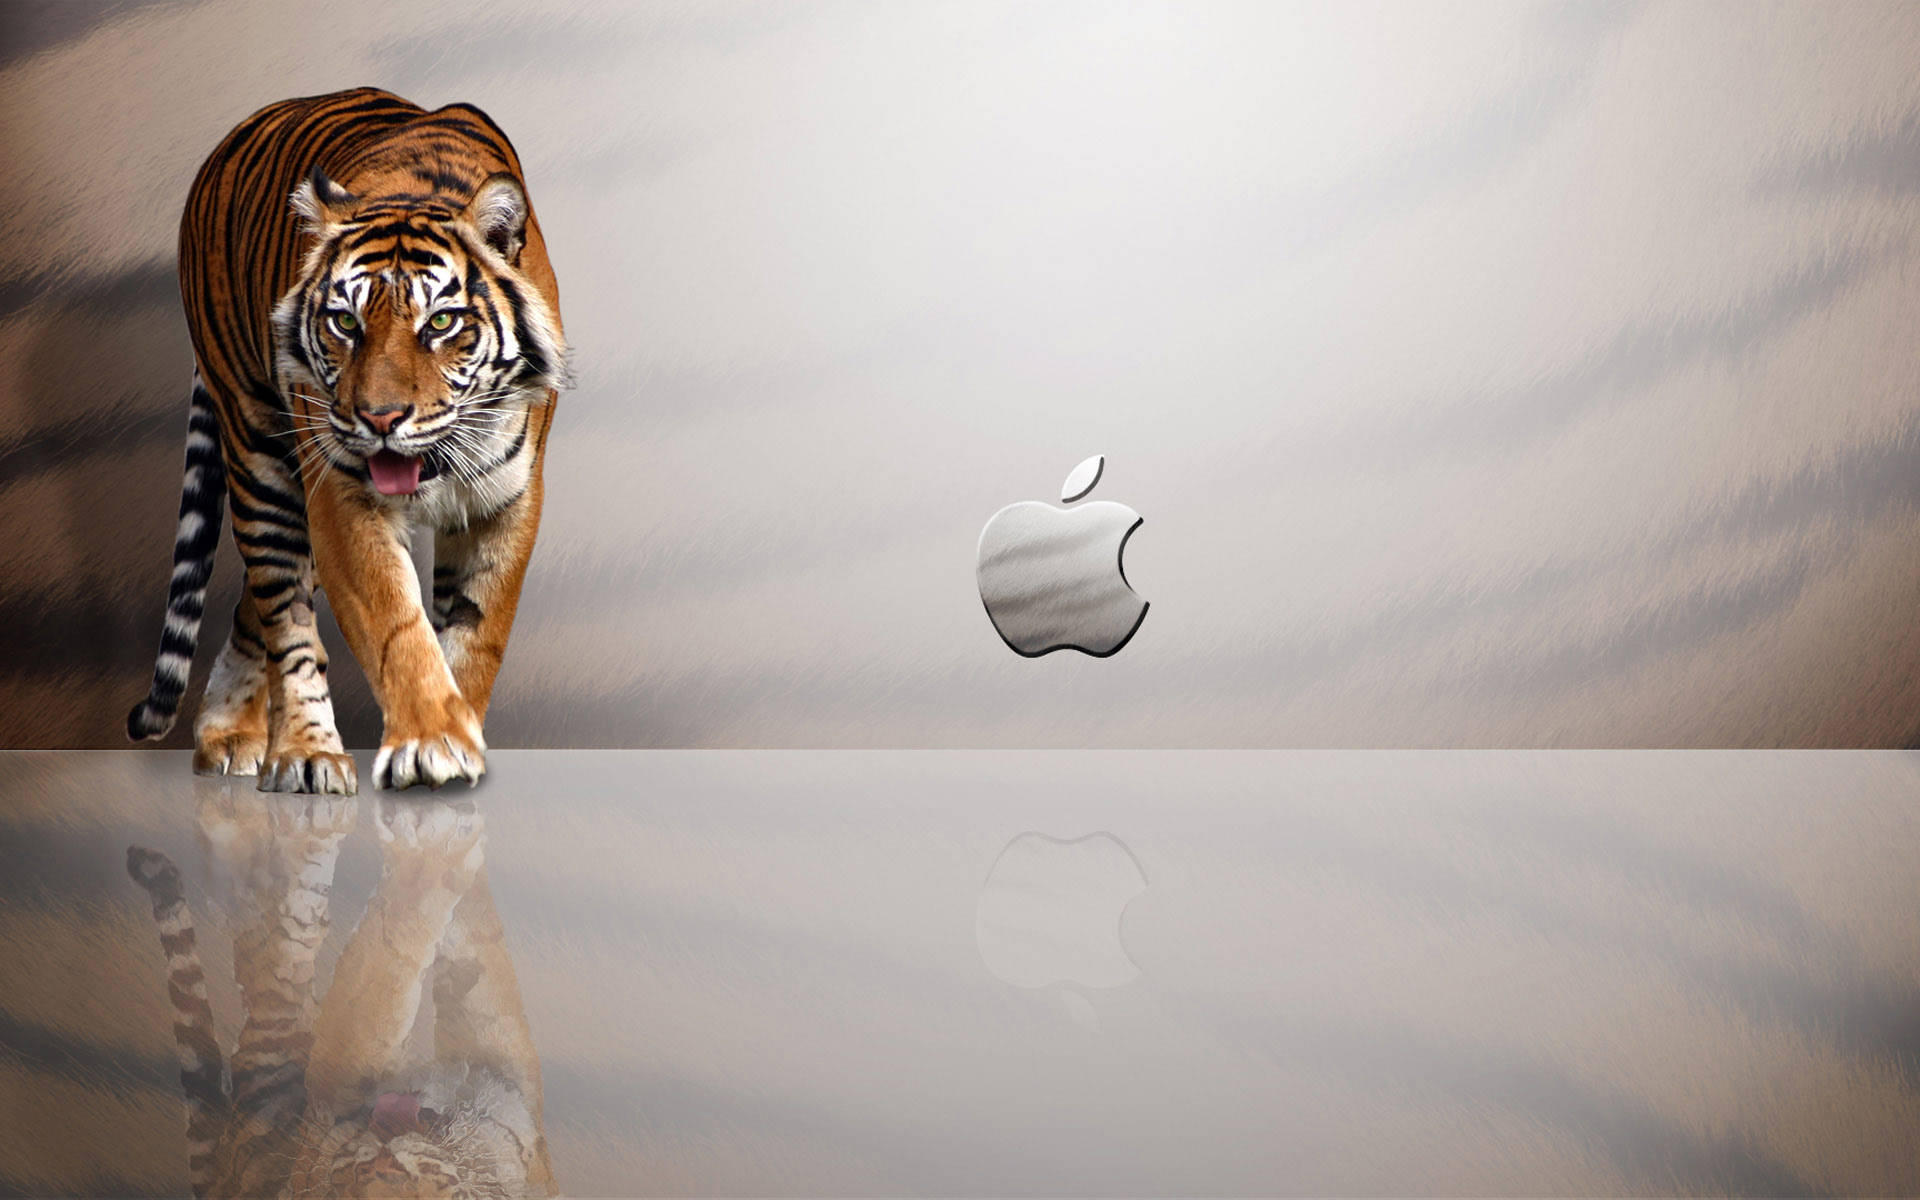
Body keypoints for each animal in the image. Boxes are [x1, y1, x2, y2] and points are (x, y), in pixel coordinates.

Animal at [124, 87, 568, 794]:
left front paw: (460, 732)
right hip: (259, 459)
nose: (380, 418)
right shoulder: (340, 494)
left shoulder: (509, 499)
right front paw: (431, 740)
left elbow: (477, 631)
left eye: (440, 323)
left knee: (257, 608)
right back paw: (299, 752)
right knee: (284, 616)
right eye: (345, 323)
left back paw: (230, 730)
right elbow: (395, 626)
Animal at [126, 793, 557, 1197]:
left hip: (282, 1038)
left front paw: (433, 837)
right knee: (267, 931)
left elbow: (407, 950)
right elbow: (452, 945)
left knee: (276, 942)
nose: (381, 1156)